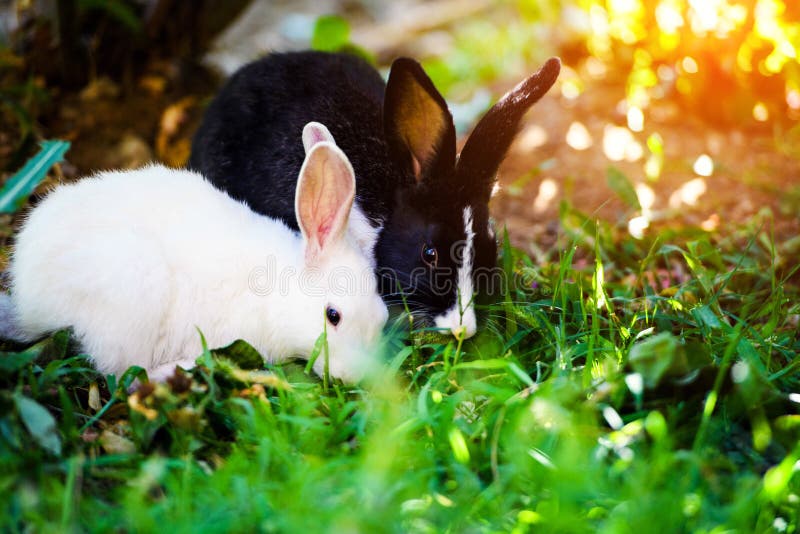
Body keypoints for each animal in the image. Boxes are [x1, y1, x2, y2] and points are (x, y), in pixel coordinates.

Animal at [8, 124, 388, 383]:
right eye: (333, 316)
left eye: (382, 318)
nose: (356, 376)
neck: (276, 294)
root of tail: (27, 295)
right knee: (123, 372)